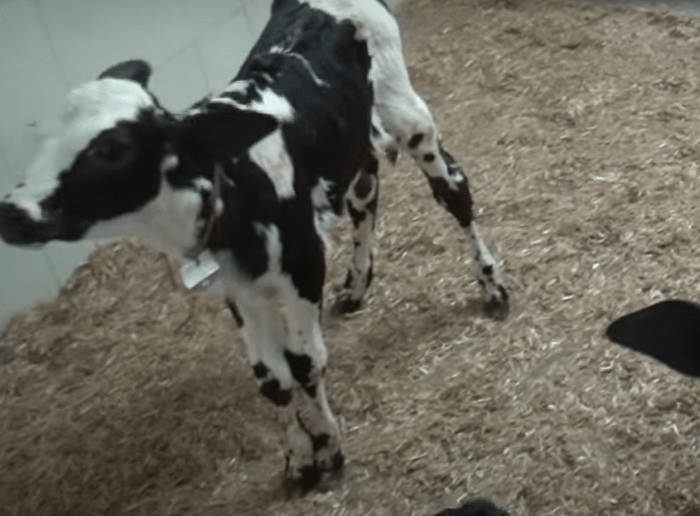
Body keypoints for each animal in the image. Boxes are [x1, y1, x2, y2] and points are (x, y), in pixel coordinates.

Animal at [0, 0, 509, 492]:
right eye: (39, 137)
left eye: (112, 149)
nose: (13, 213)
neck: (235, 185)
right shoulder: (237, 286)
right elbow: (271, 376)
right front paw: (299, 464)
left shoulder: (303, 268)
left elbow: (304, 363)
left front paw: (329, 450)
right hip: (352, 137)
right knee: (366, 190)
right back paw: (357, 285)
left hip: (405, 109)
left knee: (453, 189)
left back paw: (491, 284)